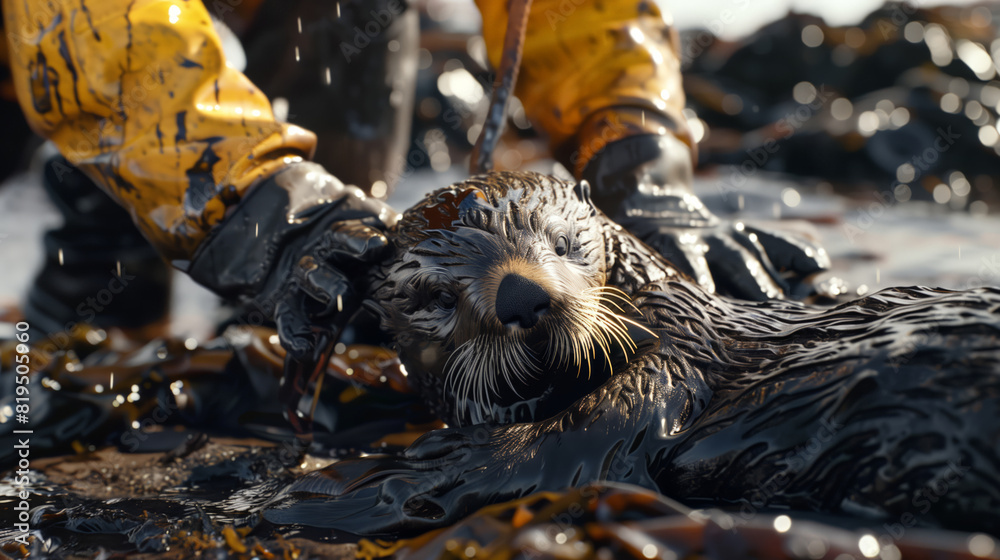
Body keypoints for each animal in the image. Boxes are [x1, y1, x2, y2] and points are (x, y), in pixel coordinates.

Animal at [263, 171, 1000, 537]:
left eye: (562, 243)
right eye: (437, 296)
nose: (524, 297)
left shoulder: (676, 361)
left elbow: (577, 449)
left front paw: (345, 489)